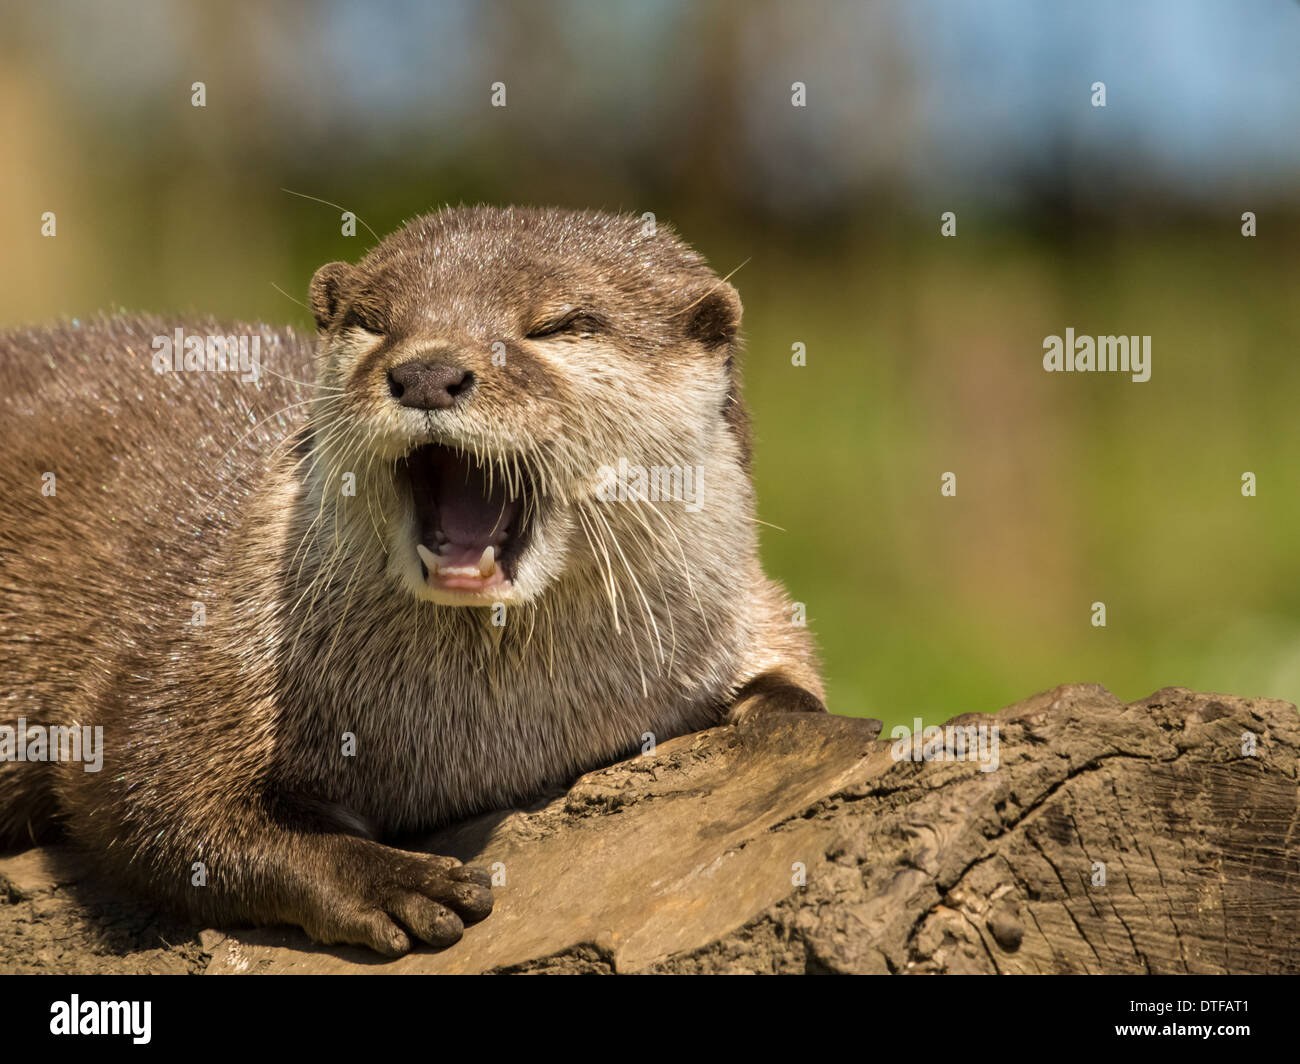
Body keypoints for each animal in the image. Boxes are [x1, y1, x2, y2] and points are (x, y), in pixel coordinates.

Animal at [0, 206, 825, 956]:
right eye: (373, 323)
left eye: (562, 325)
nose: (427, 371)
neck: (491, 741)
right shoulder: (201, 641)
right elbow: (149, 791)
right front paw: (387, 879)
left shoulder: (751, 604)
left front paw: (776, 707)